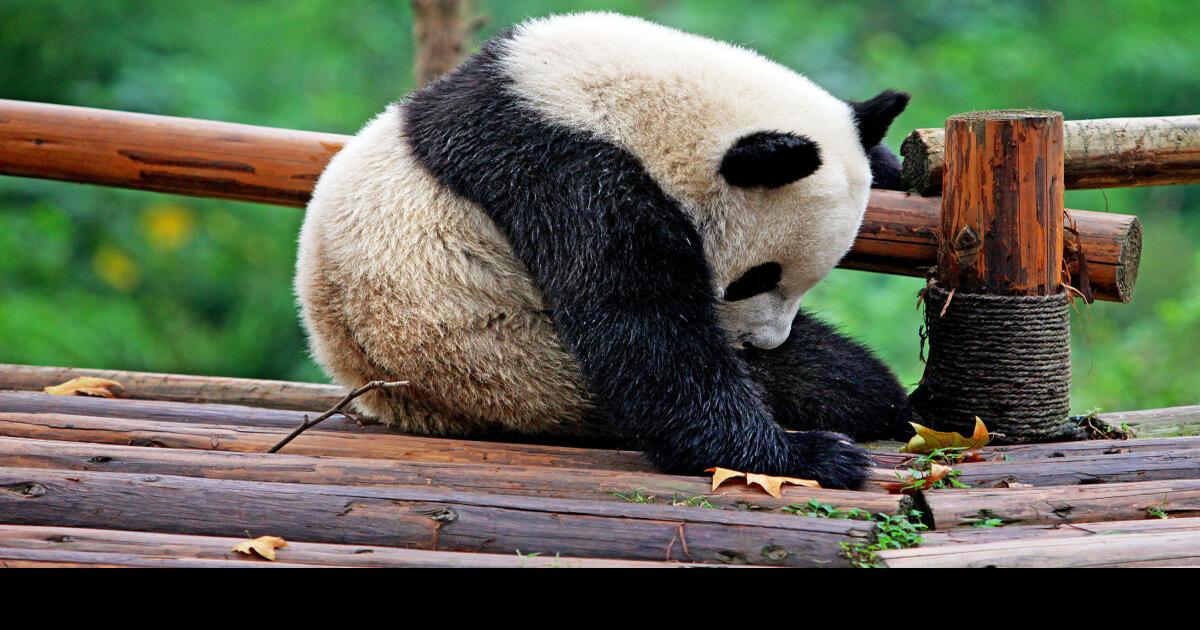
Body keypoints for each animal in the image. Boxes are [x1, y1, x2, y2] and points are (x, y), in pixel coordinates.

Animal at [295, 12, 917, 489]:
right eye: (758, 278)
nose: (762, 342)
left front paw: (893, 161)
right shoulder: (566, 174)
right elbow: (641, 329)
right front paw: (809, 457)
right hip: (524, 368)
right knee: (820, 375)